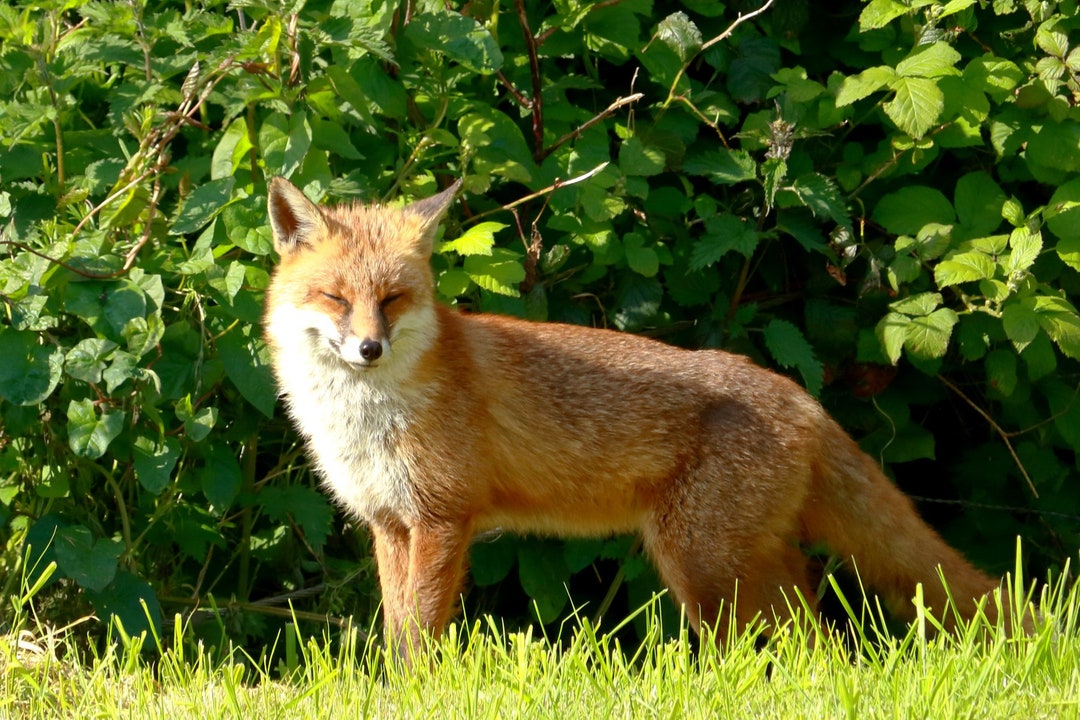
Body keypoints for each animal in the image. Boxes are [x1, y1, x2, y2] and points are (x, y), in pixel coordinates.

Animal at [264, 176, 1012, 658]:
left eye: (392, 299)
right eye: (335, 298)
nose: (369, 348)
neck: (366, 419)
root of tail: (802, 396)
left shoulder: (443, 518)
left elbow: (418, 637)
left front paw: (416, 694)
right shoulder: (392, 524)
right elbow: (396, 632)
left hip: (701, 566)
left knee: (789, 637)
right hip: (739, 563)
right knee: (813, 632)